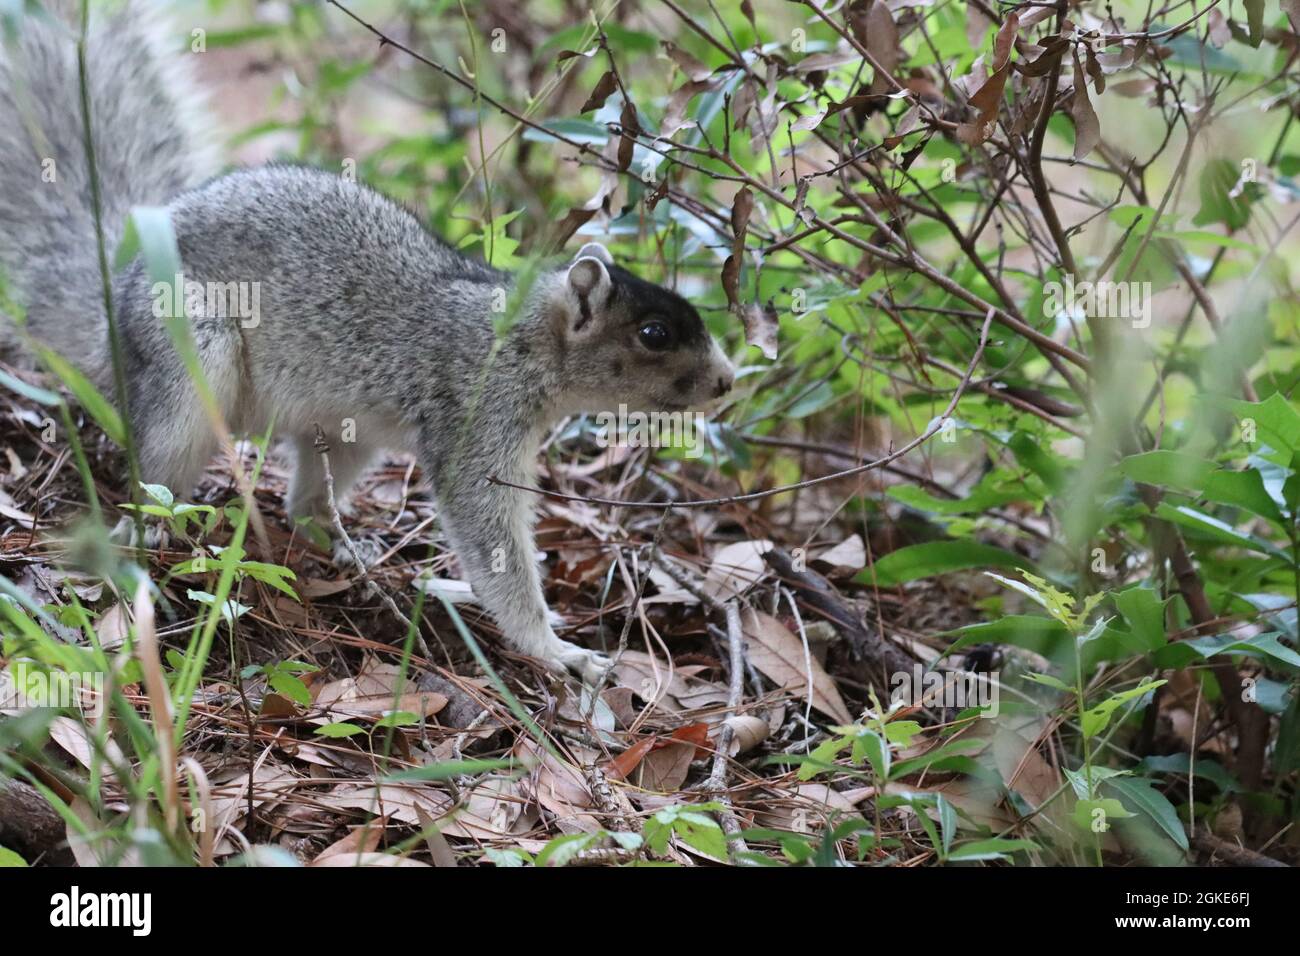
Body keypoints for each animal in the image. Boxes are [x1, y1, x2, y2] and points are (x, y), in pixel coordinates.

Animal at [0, 1, 735, 682]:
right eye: (653, 334)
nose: (729, 381)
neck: (518, 338)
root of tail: (111, 305)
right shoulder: (476, 419)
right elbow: (490, 537)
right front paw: (556, 649)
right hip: (188, 361)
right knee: (157, 465)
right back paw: (147, 524)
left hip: (349, 436)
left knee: (303, 501)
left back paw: (339, 543)